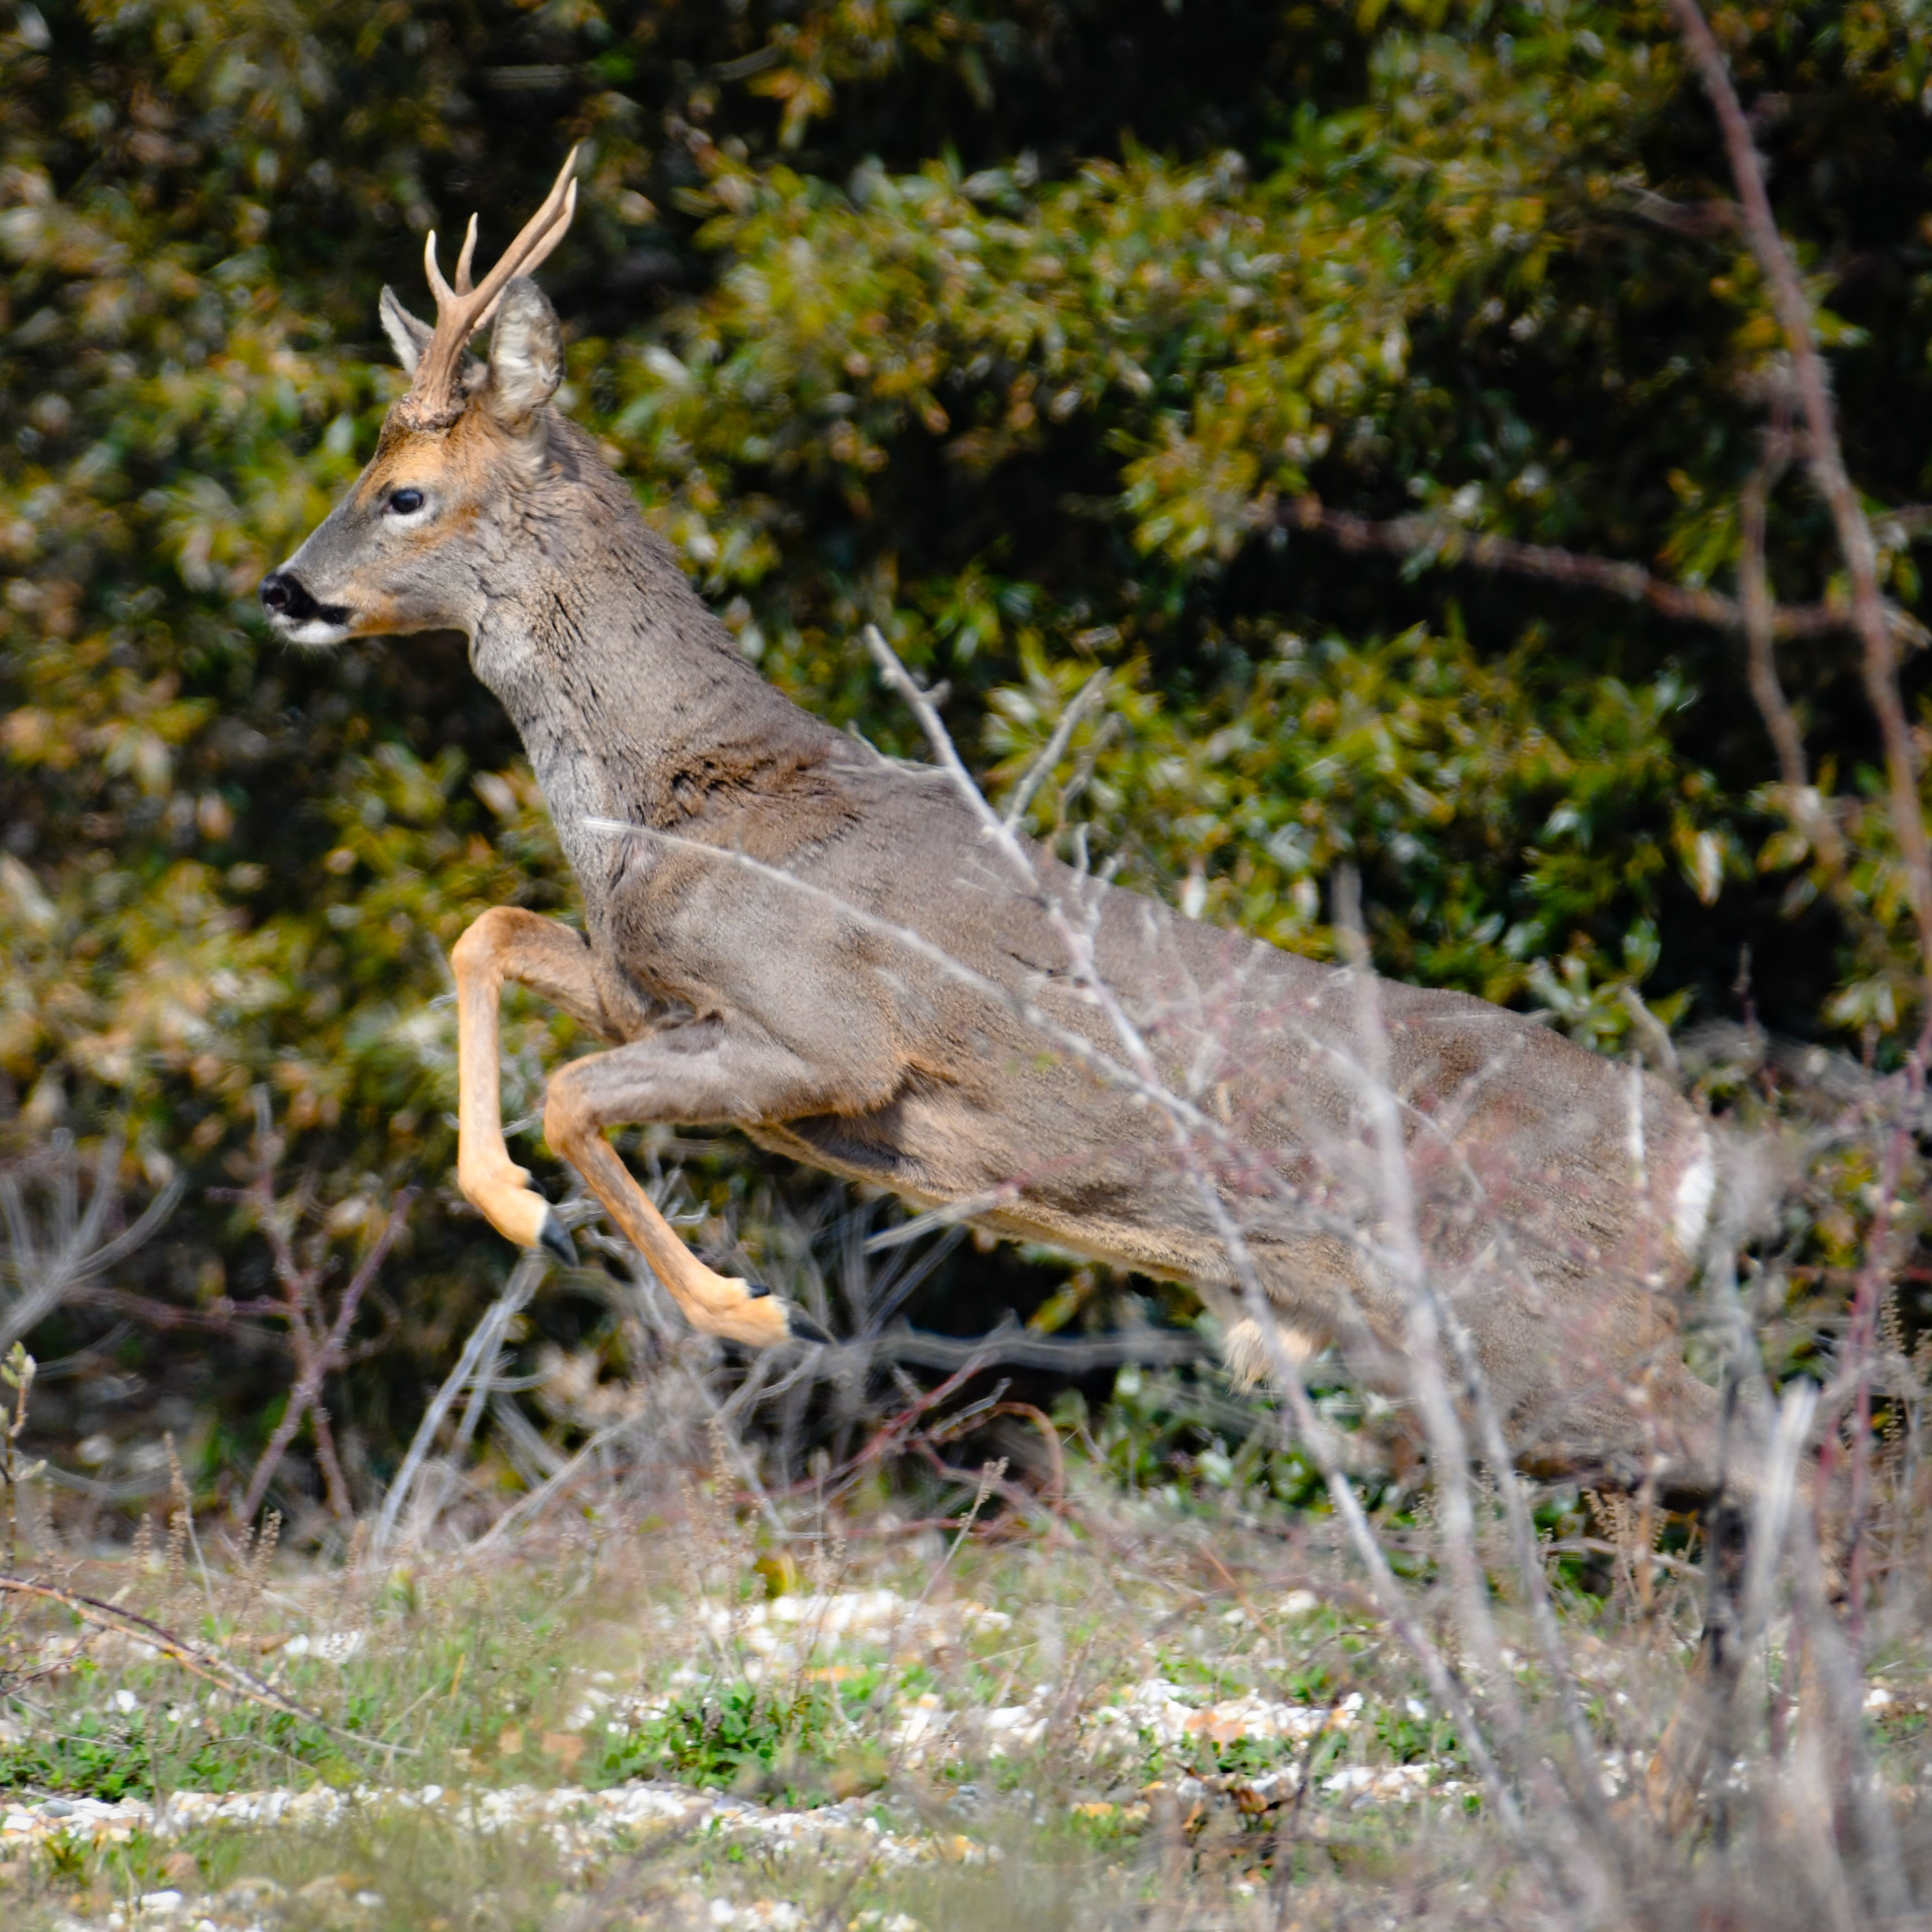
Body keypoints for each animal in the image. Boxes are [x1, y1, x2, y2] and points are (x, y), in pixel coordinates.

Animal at [260, 150, 1743, 1509]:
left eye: (403, 492)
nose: (281, 587)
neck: (671, 800)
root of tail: (1695, 1166)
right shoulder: (643, 991)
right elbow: (487, 931)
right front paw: (526, 1208)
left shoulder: (821, 1032)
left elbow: (571, 1092)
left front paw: (746, 1305)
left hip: (1547, 1312)